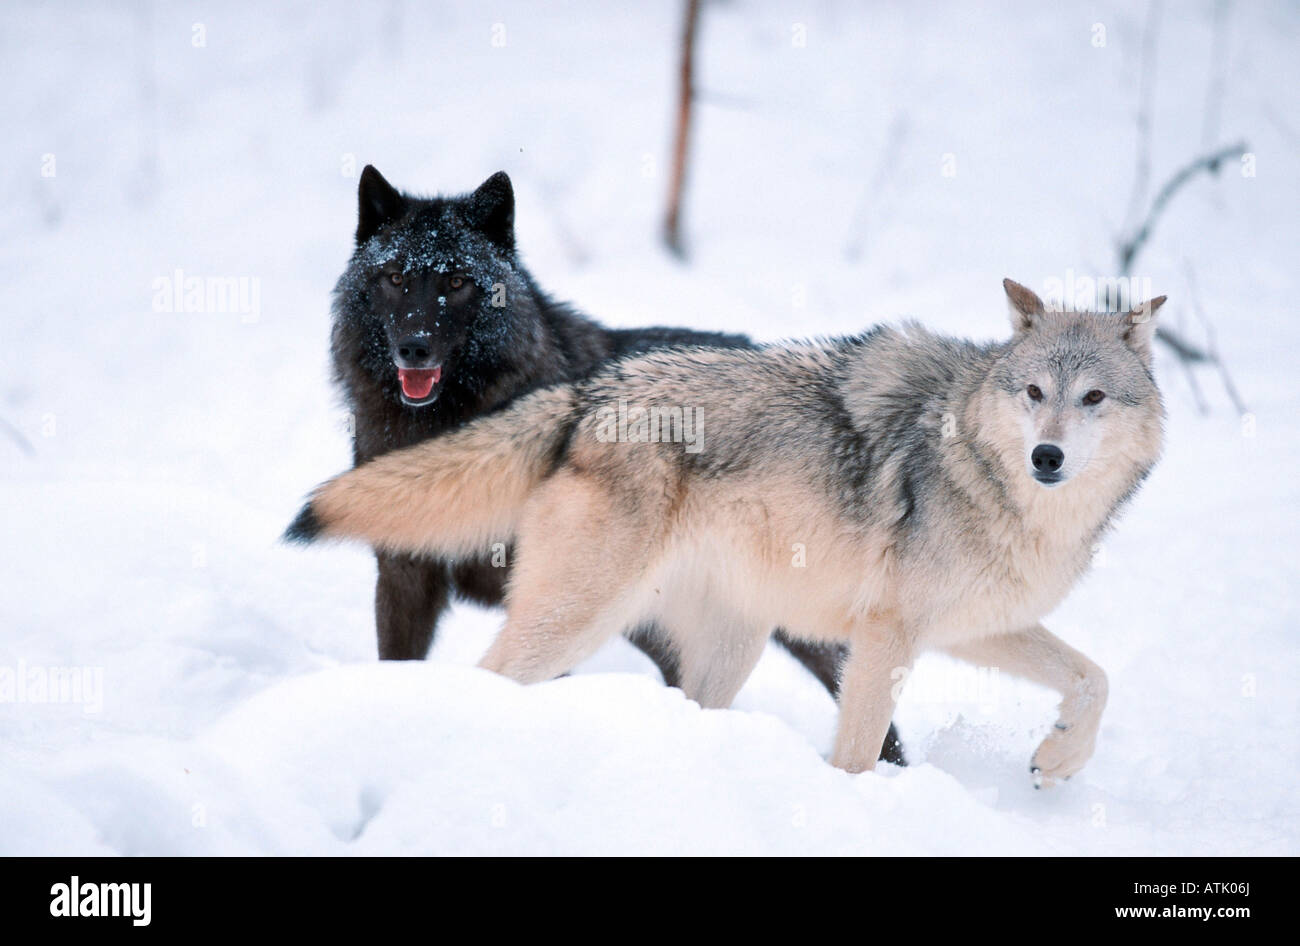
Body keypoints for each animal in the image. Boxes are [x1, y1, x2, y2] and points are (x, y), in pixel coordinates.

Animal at [289, 278, 1166, 781]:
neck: (989, 478)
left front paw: (1058, 762)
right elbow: (856, 757)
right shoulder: (886, 636)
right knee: (490, 675)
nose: (1048, 456)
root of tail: (589, 393)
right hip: (578, 620)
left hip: (727, 646)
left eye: (1092, 398)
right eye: (1033, 391)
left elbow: (1094, 679)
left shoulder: (973, 626)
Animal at [317, 165, 905, 763]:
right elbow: (399, 662)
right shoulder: (405, 575)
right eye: (394, 278)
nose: (414, 347)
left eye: (457, 282)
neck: (445, 421)